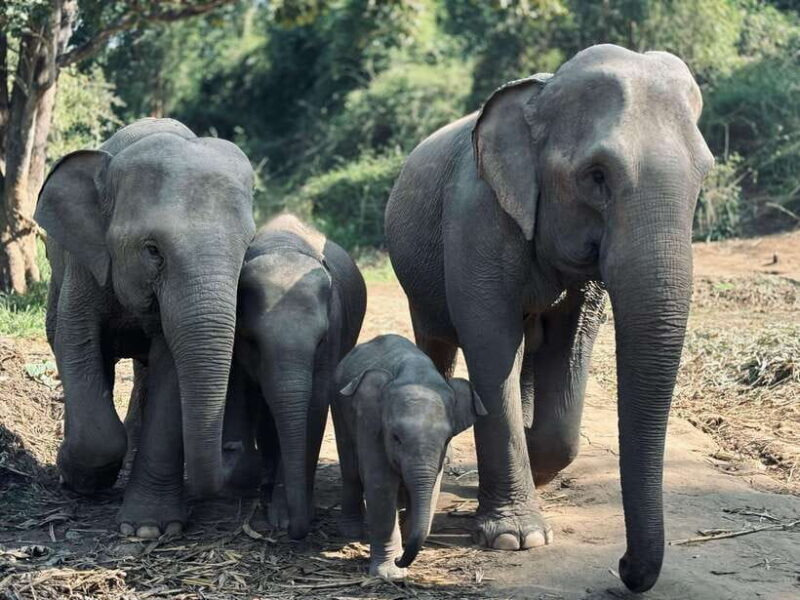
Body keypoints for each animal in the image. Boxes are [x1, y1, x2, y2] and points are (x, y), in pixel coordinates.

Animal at [35, 118, 256, 537]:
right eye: (152, 250)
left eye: (249, 245)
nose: (233, 449)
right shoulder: (86, 264)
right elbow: (77, 342)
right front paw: (77, 477)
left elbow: (170, 371)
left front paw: (149, 529)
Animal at [222, 214, 366, 540]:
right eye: (252, 341)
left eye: (321, 340)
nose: (296, 531)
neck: (282, 244)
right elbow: (250, 395)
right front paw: (282, 515)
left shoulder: (335, 327)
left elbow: (316, 404)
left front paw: (286, 517)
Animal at [332, 334, 486, 579]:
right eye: (396, 437)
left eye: (447, 440)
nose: (399, 559)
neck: (414, 371)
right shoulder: (371, 424)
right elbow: (380, 484)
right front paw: (391, 573)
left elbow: (432, 490)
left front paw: (404, 538)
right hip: (338, 406)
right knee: (351, 469)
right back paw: (352, 531)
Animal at [383, 44, 714, 592]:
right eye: (596, 176)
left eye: (702, 176)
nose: (624, 567)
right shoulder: (477, 218)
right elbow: (492, 344)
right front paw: (515, 538)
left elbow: (570, 340)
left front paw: (539, 466)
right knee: (437, 343)